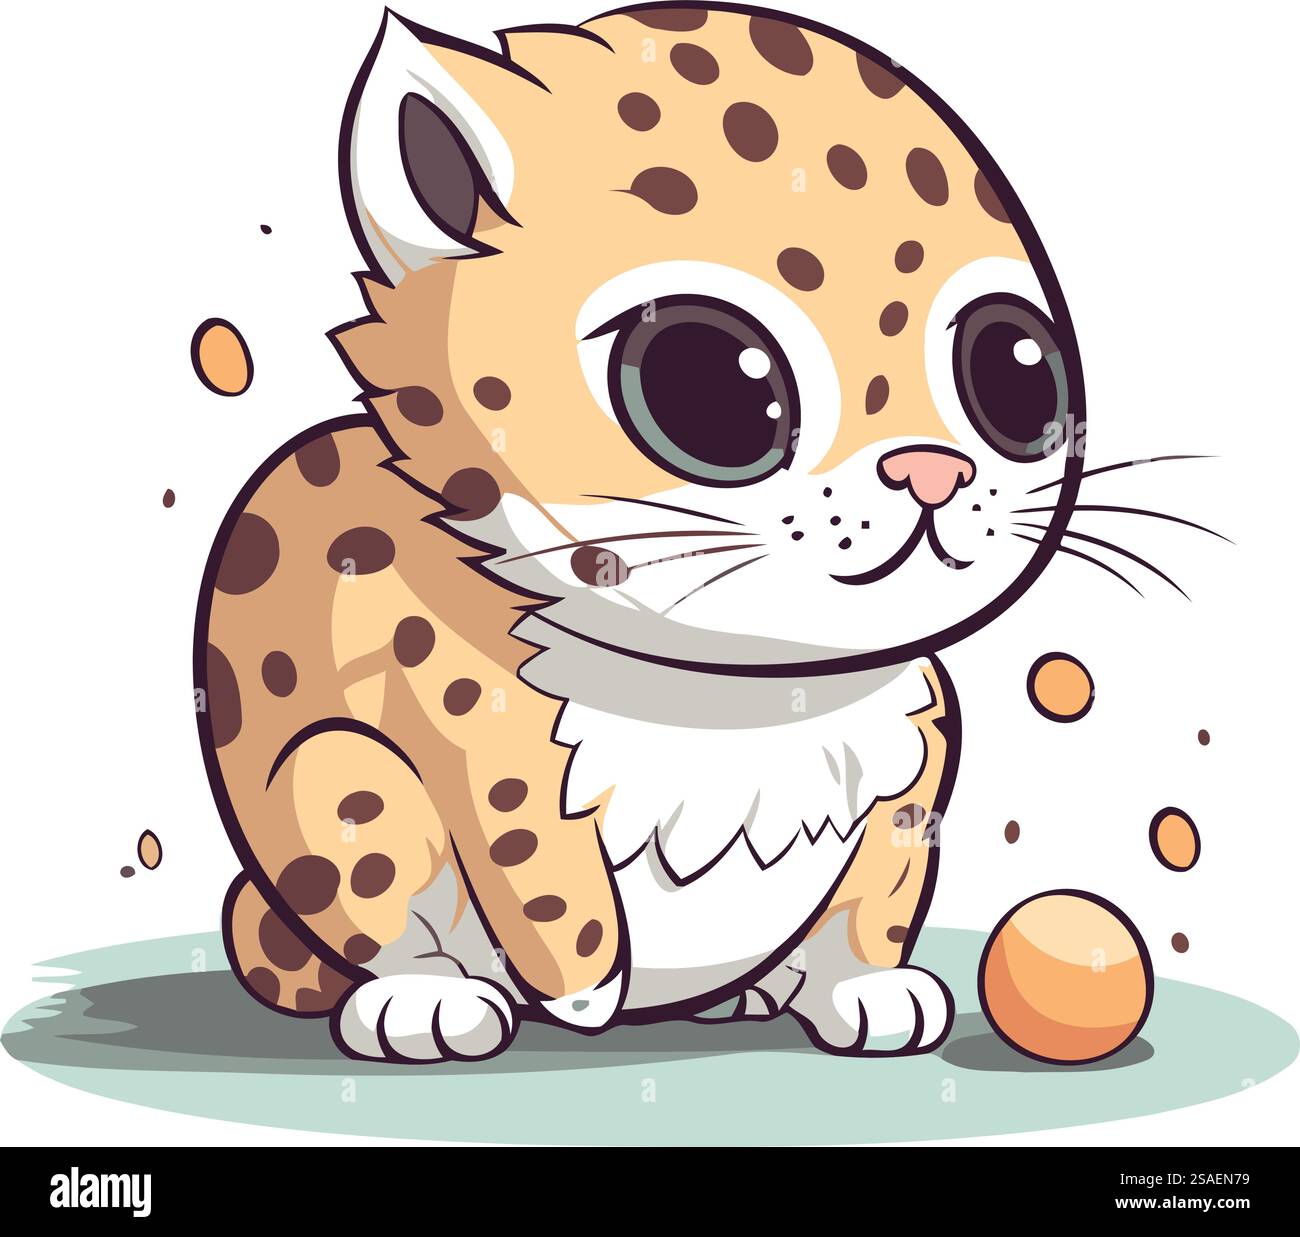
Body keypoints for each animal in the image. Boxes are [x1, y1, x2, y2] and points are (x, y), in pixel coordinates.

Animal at [195, 2, 1084, 1062]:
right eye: (707, 379)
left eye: (1018, 367)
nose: (932, 471)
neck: (743, 694)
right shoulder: (481, 753)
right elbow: (539, 871)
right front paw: (579, 993)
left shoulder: (916, 757)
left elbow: (880, 892)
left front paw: (862, 988)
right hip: (333, 780)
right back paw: (429, 1001)